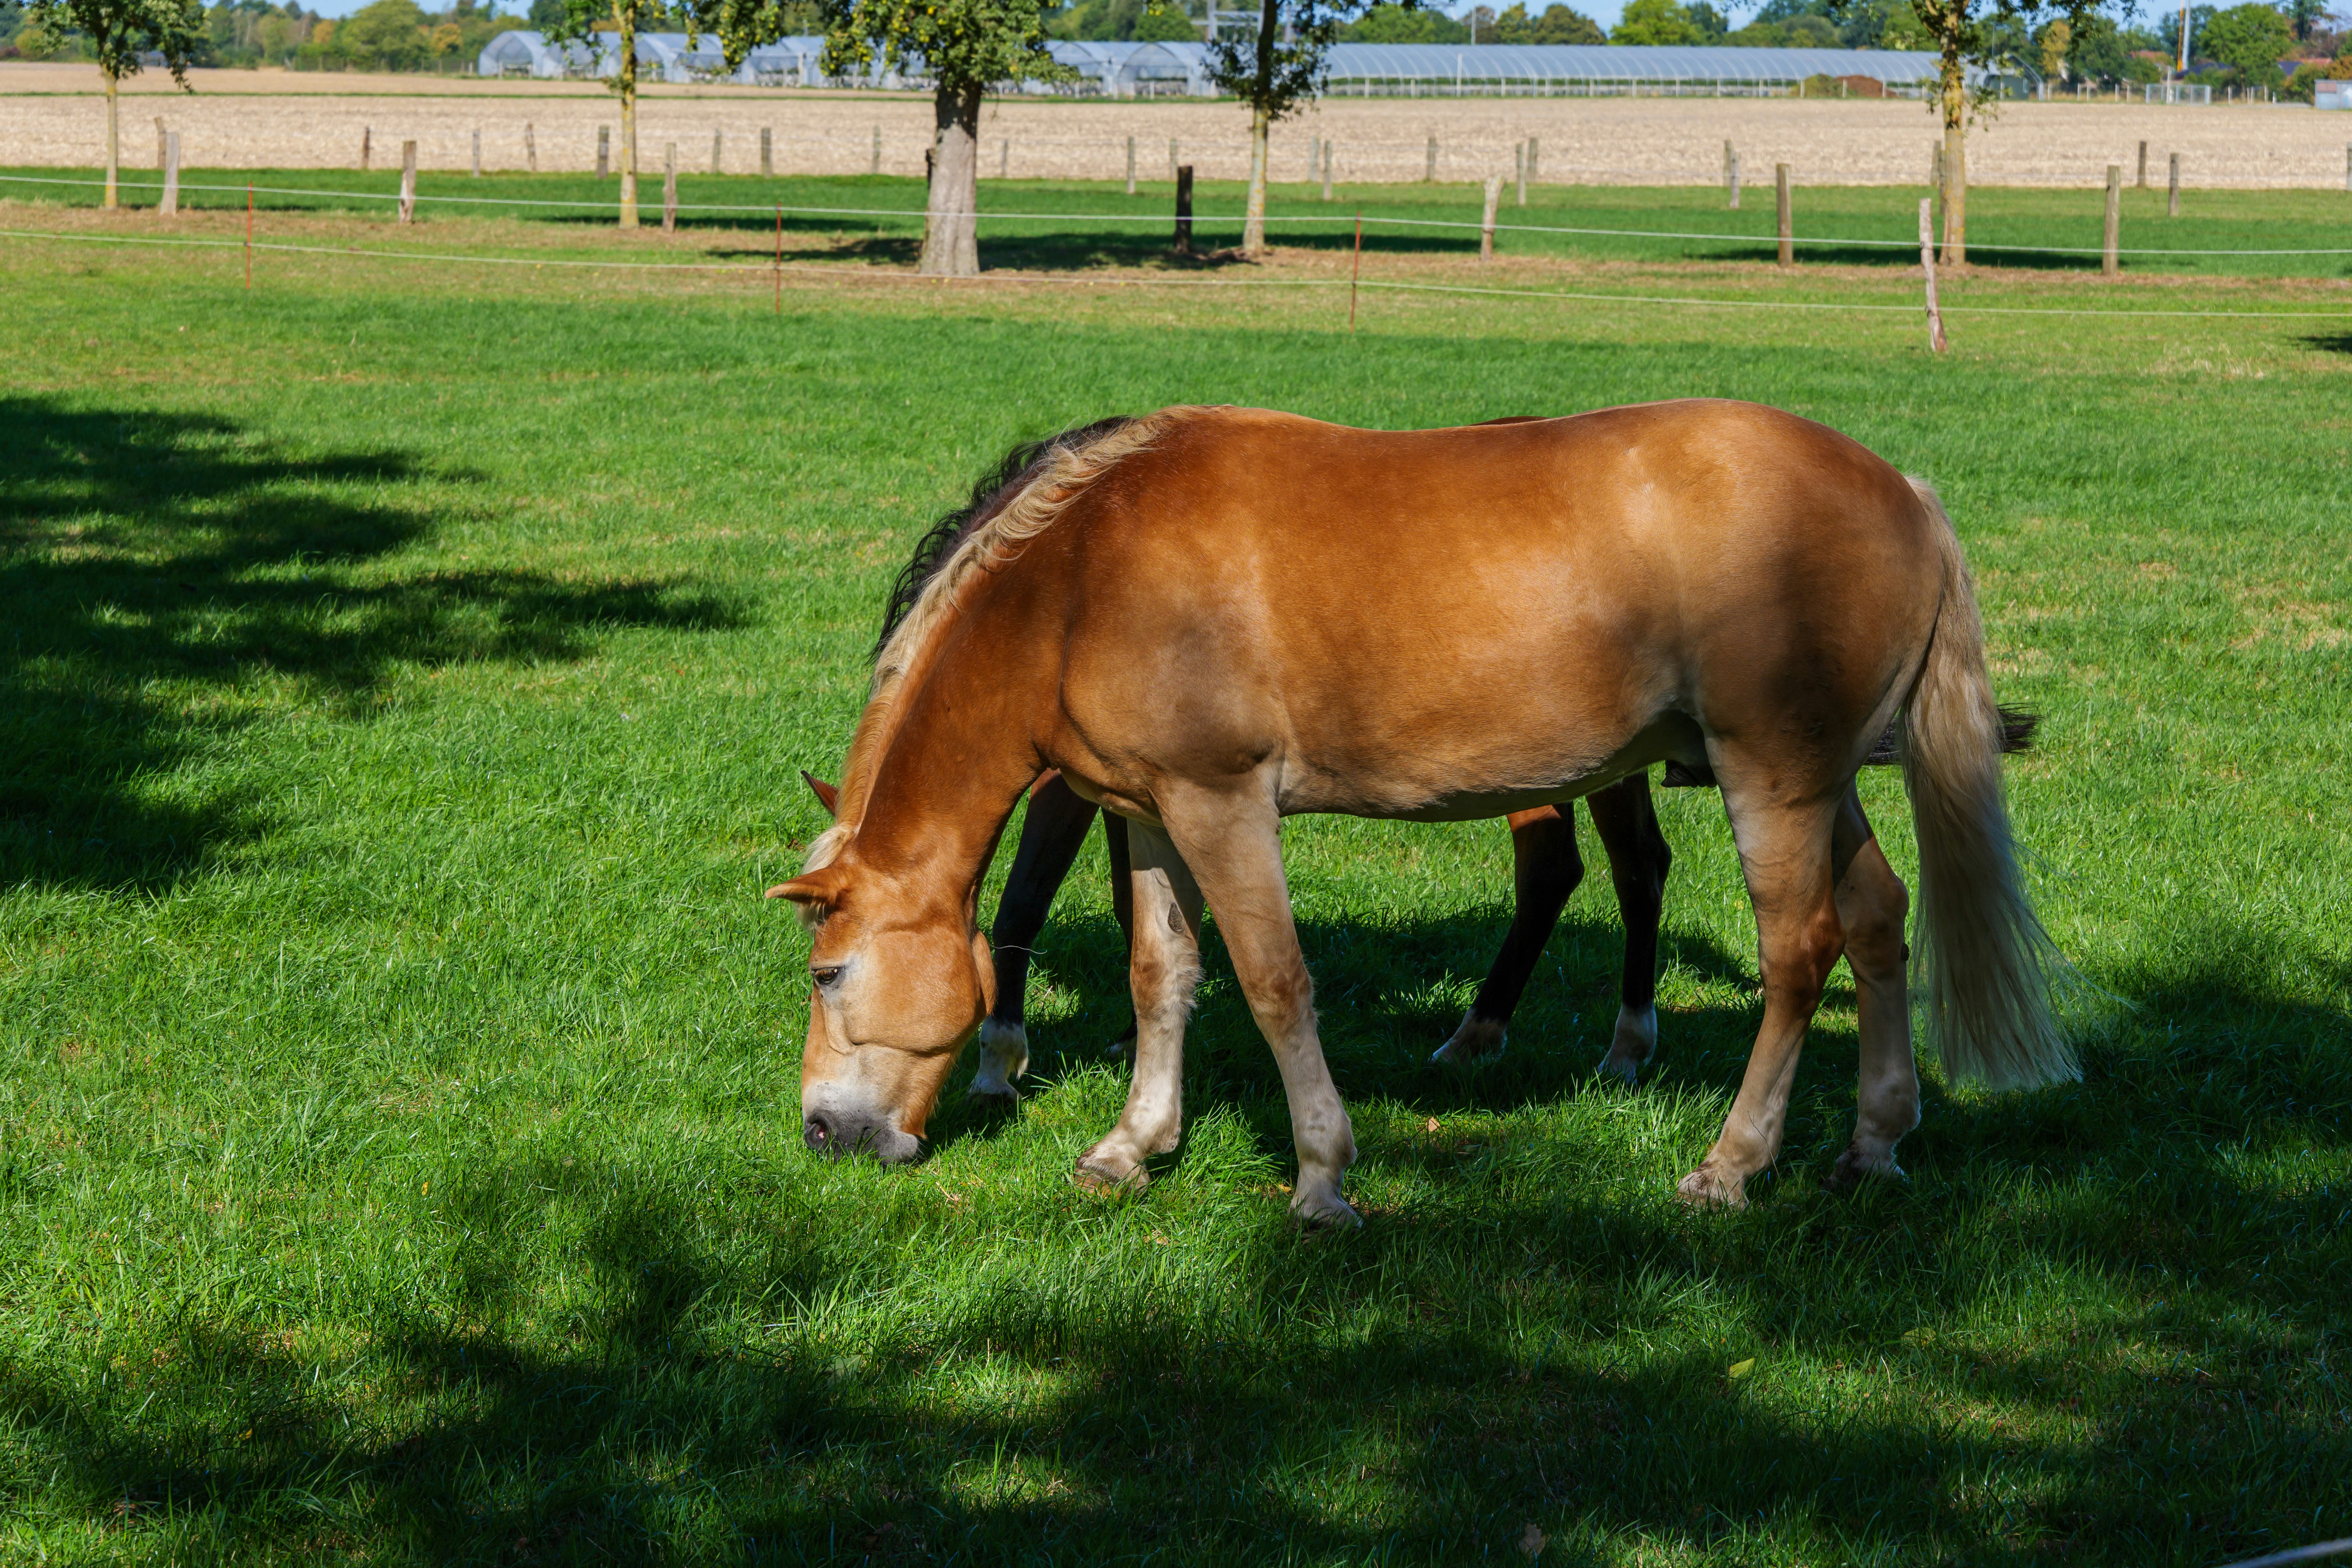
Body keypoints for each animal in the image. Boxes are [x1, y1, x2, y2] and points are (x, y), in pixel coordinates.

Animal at [770, 403, 2074, 1226]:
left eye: (830, 974)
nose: (822, 1133)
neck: (1084, 576)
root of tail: (1902, 493)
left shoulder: (1223, 805)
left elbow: (1273, 981)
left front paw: (1321, 1176)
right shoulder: (1145, 812)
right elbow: (1160, 976)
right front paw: (1132, 1146)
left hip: (1773, 781)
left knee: (1799, 954)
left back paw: (1730, 1165)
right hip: (1825, 786)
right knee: (1879, 921)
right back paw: (1872, 1143)